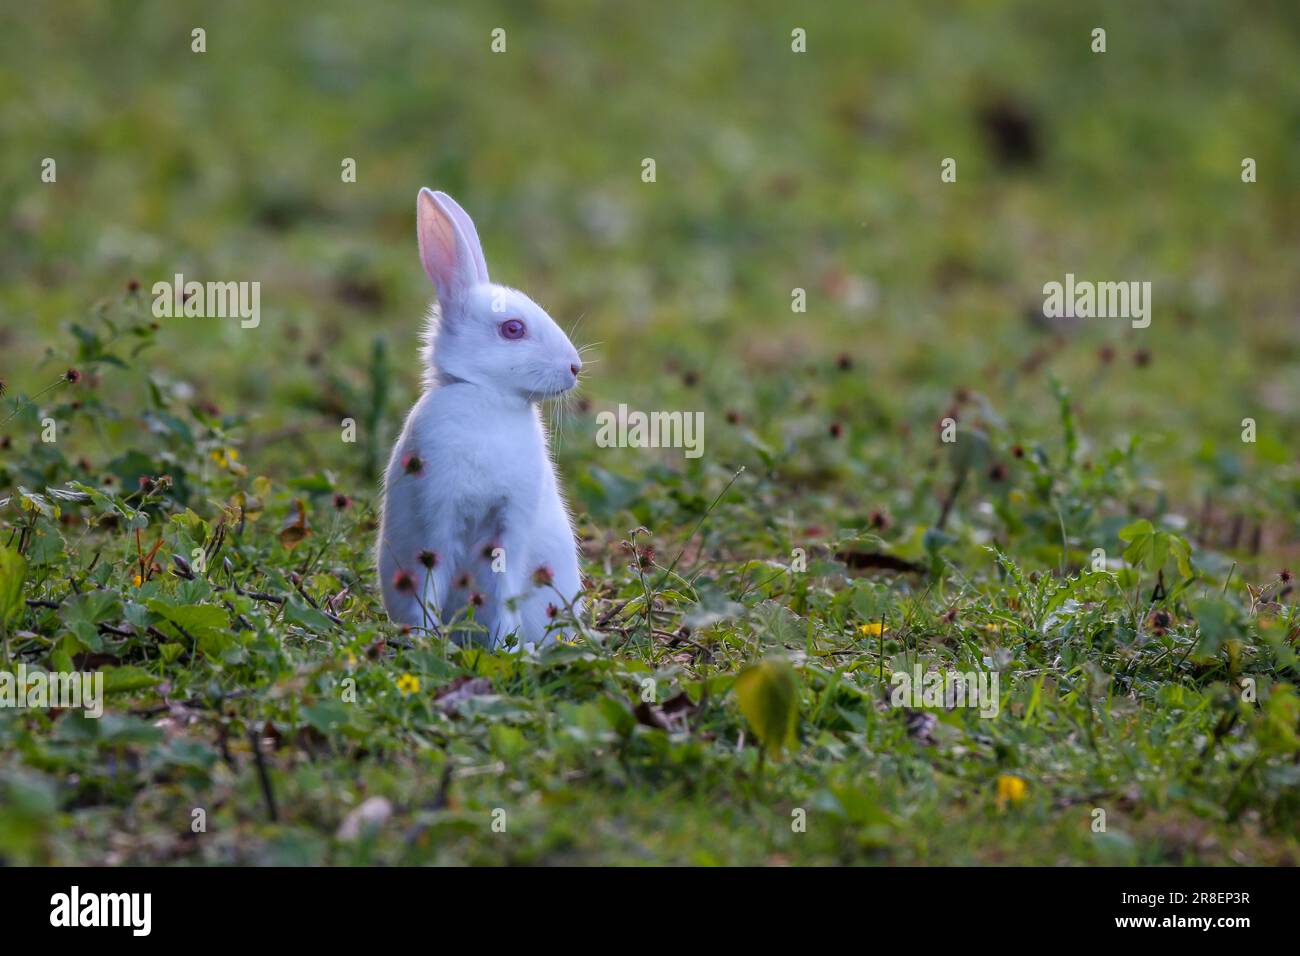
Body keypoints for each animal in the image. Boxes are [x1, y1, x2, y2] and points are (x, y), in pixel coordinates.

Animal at [376, 188, 585, 650]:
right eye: (512, 329)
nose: (575, 368)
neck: (486, 395)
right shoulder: (437, 516)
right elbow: (430, 581)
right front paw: (424, 637)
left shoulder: (510, 526)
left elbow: (502, 589)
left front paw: (507, 646)